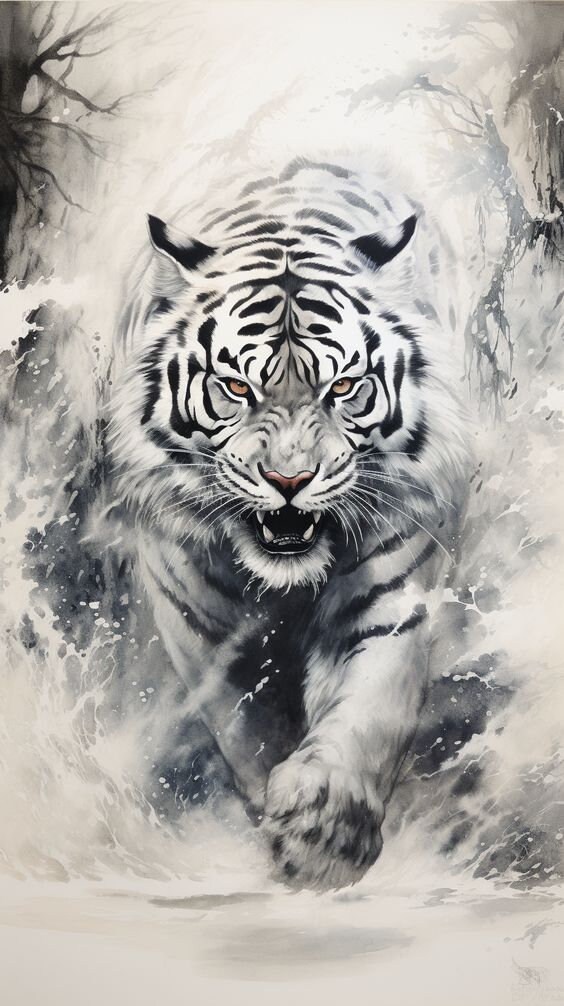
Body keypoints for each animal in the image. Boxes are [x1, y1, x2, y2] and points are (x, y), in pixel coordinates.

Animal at [108, 158, 469, 890]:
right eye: (237, 388)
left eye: (343, 388)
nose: (290, 480)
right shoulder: (204, 629)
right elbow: (247, 731)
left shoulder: (387, 597)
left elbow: (369, 708)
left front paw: (324, 833)